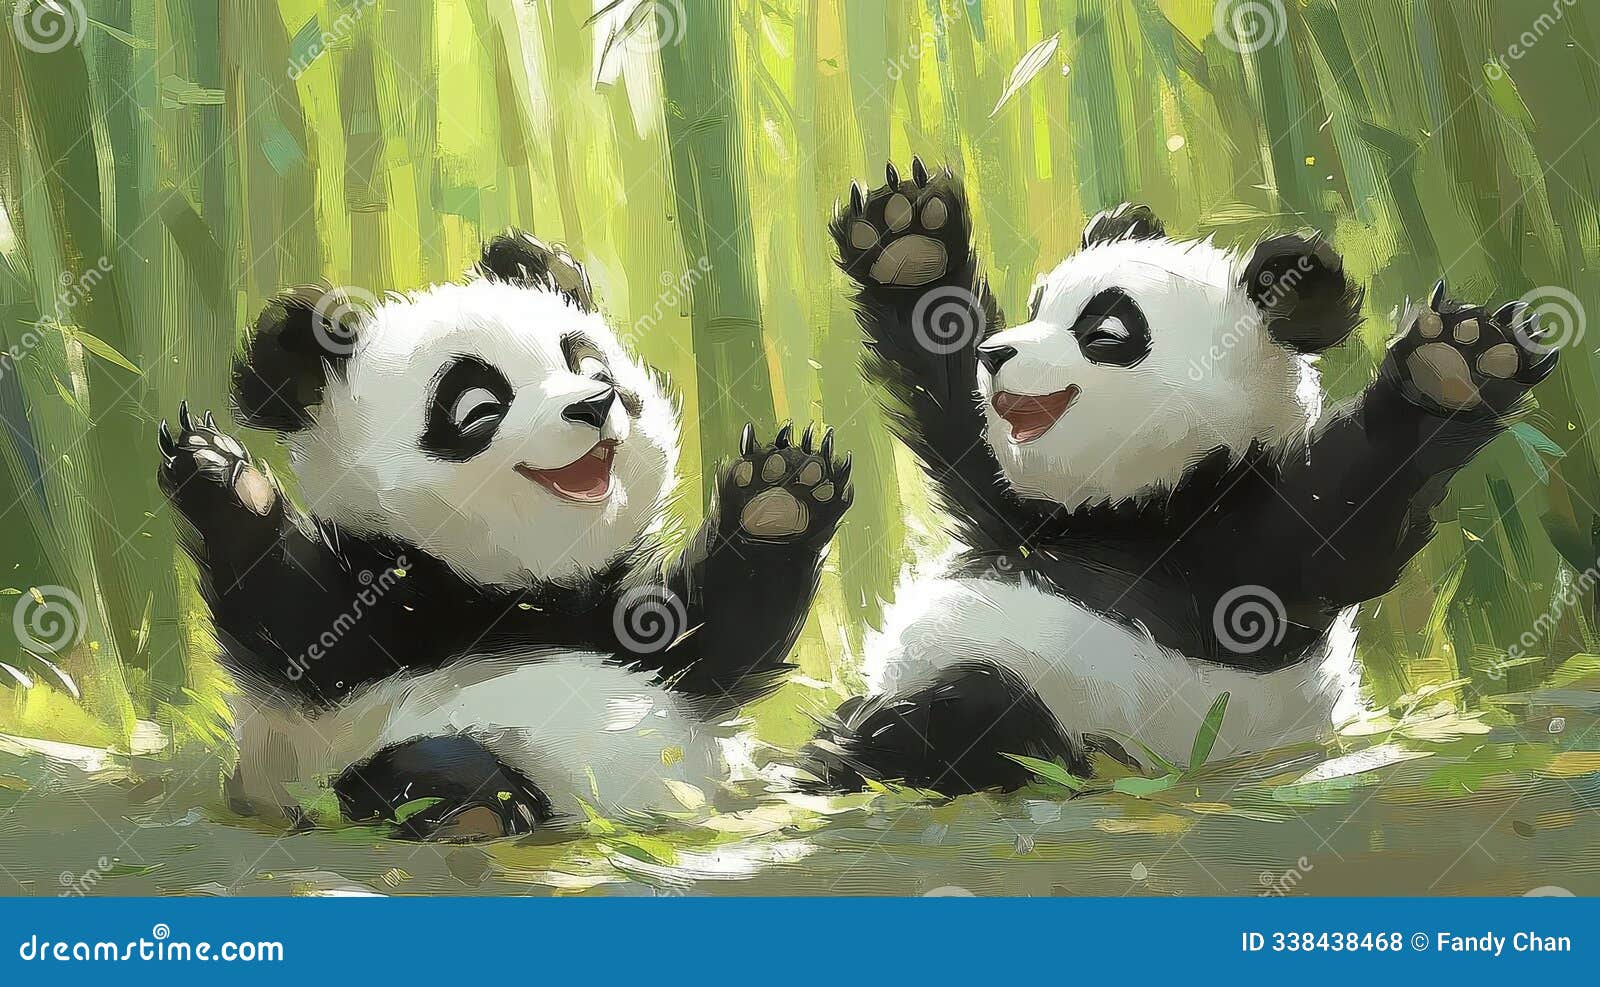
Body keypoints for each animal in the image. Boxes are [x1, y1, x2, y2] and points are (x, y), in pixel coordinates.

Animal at [157, 232, 852, 838]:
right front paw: (223, 476)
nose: (595, 403)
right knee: (408, 775)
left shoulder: (616, 612)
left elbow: (721, 637)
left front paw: (780, 497)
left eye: (589, 362)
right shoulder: (363, 624)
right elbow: (291, 624)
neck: (512, 592)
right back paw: (472, 806)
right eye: (478, 406)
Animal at [803, 158, 1558, 793]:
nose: (998, 354)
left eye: (1104, 332)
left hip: (1098, 723)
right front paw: (907, 243)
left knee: (983, 719)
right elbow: (961, 425)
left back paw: (869, 743)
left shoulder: (1237, 546)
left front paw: (1452, 368)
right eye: (1038, 306)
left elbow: (1345, 524)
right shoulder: (1015, 504)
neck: (1135, 505)